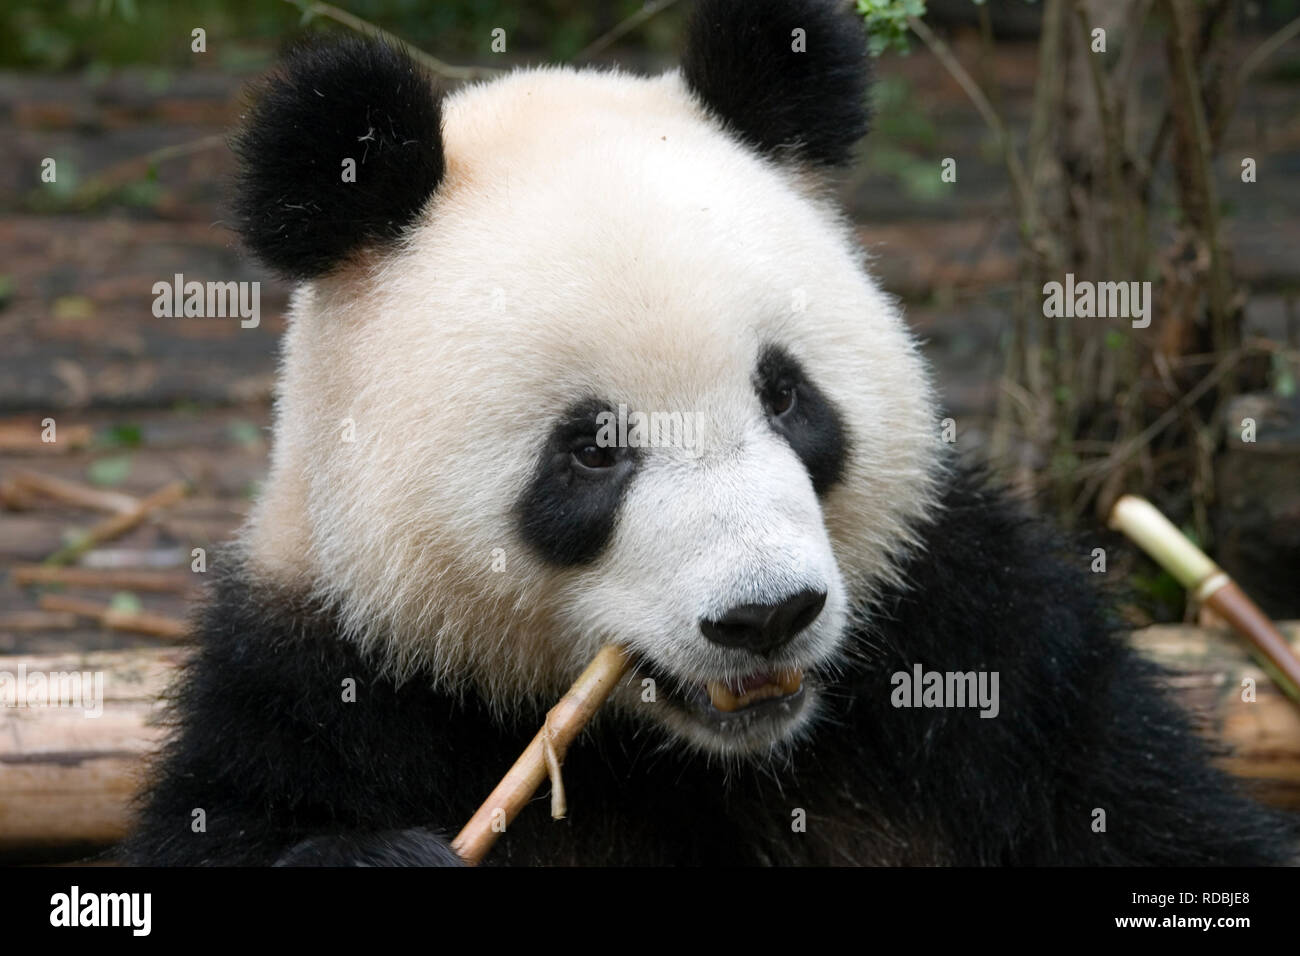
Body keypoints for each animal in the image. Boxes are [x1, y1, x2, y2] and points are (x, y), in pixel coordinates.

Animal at [125, 0, 1295, 866]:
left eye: (783, 395)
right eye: (592, 447)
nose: (766, 614)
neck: (711, 757)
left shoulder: (983, 639)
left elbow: (1154, 812)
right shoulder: (327, 687)